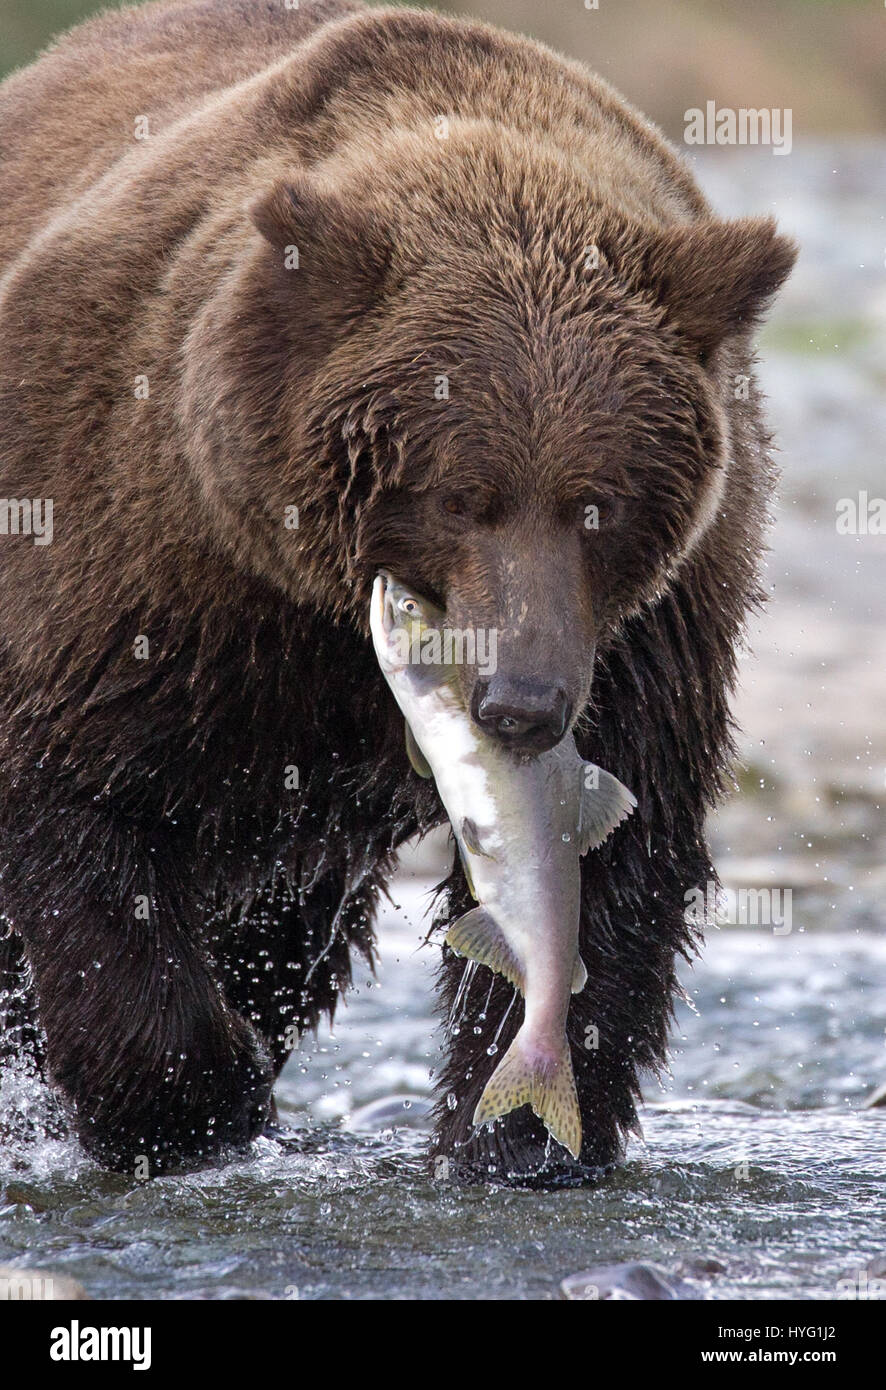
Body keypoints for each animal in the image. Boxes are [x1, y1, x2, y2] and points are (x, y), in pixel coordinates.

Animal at [0, 0, 795, 1180]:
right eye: (462, 495)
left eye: (597, 503)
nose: (522, 702)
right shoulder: (140, 563)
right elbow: (75, 802)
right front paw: (186, 1102)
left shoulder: (654, 630)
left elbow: (616, 865)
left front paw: (518, 1132)